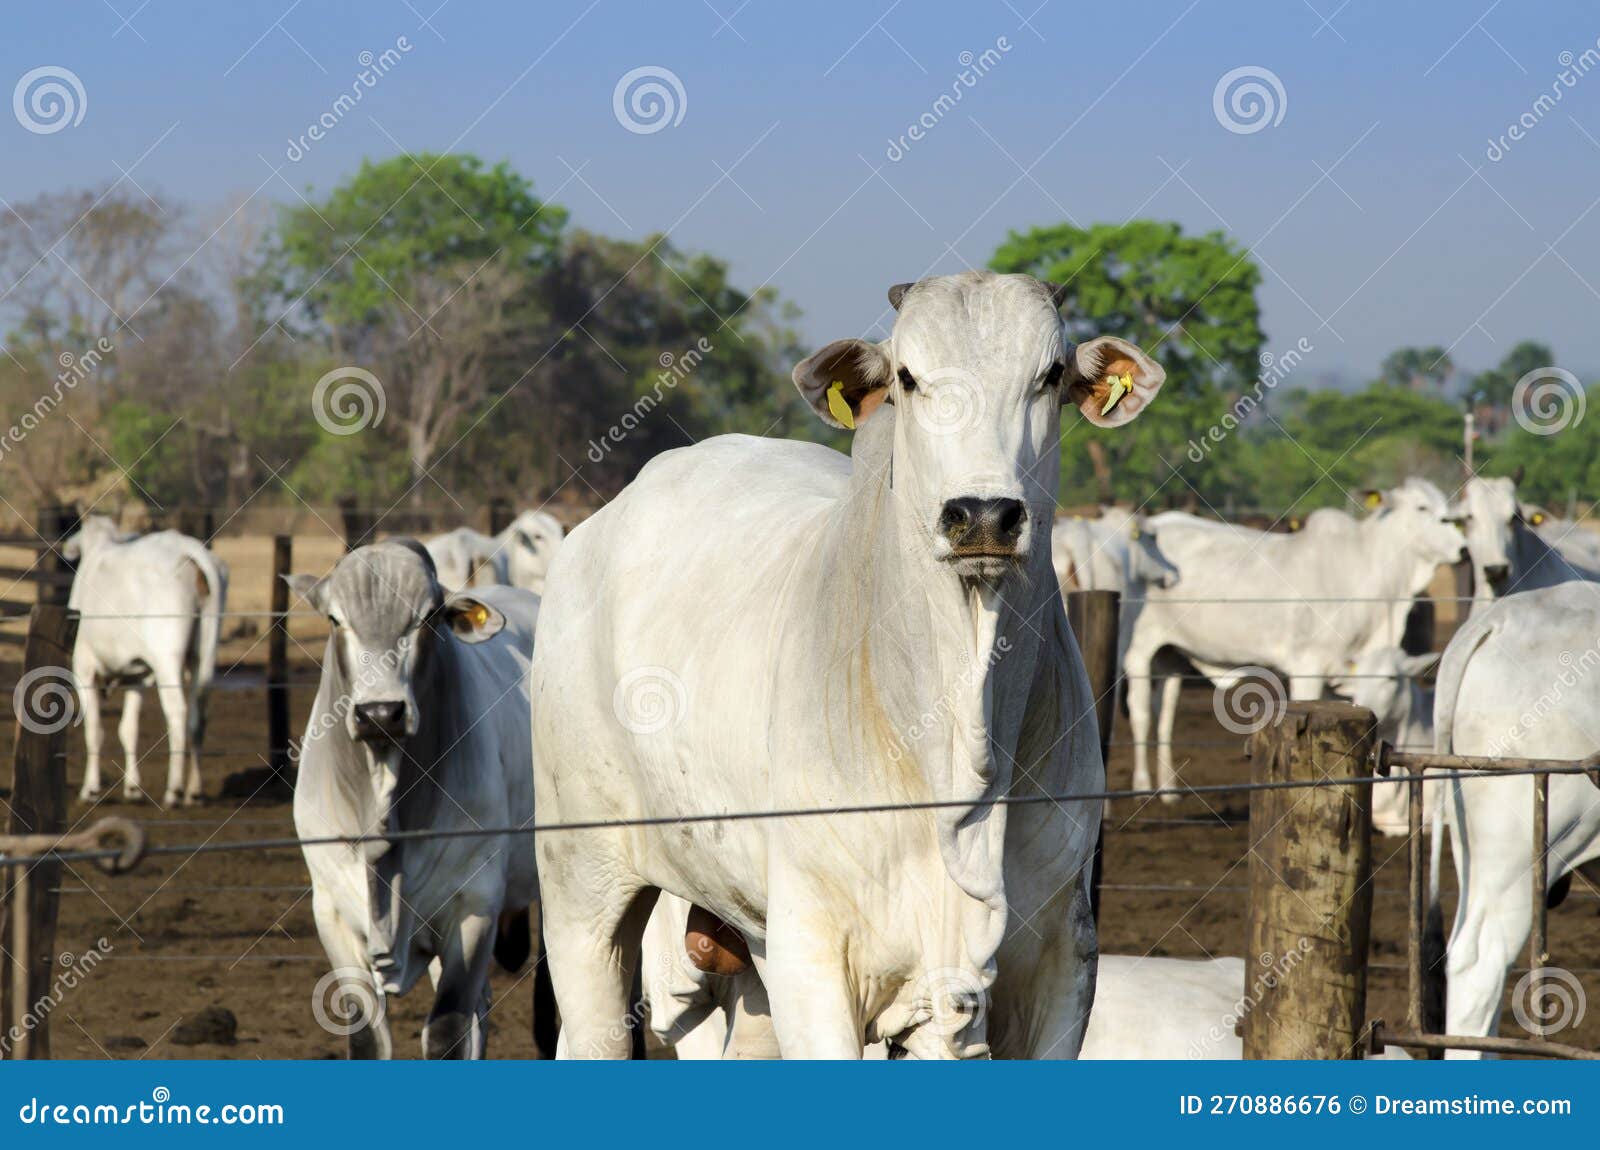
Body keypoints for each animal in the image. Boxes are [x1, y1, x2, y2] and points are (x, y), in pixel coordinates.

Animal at [63, 516, 228, 807]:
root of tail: (191, 552)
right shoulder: (136, 676)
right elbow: (128, 729)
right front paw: (132, 787)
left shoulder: (83, 667)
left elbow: (94, 730)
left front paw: (90, 788)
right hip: (205, 655)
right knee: (199, 715)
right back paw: (194, 791)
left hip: (166, 659)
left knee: (177, 712)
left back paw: (174, 790)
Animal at [287, 540, 551, 1059]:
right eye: (334, 619)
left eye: (428, 617)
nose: (380, 712)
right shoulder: (332, 912)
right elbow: (368, 1038)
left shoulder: (473, 905)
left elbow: (446, 1031)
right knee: (483, 1007)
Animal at [530, 271, 1166, 1058]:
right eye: (908, 377)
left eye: (1048, 376)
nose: (984, 515)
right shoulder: (813, 956)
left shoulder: (1060, 960)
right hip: (581, 885)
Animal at [1124, 482, 1465, 801]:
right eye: (1422, 507)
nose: (1463, 549)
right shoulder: (1308, 664)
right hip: (1139, 648)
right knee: (1140, 713)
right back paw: (1141, 786)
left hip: (1171, 655)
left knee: (1164, 714)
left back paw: (1168, 790)